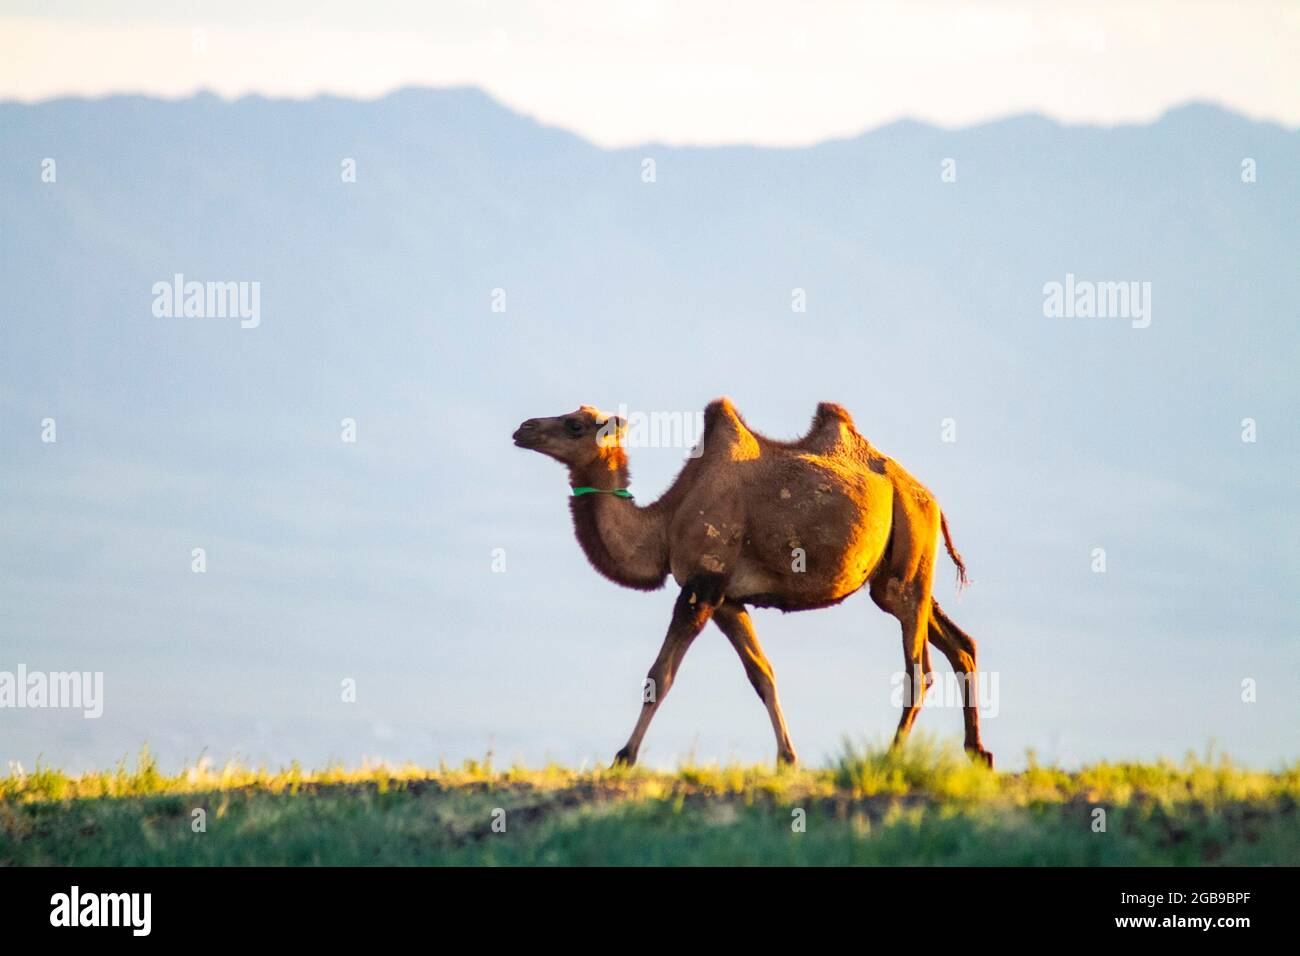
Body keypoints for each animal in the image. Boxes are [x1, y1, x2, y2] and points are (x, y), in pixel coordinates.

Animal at [512, 398, 993, 769]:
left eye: (575, 424)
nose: (523, 428)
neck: (664, 525)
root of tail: (929, 498)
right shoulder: (726, 598)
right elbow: (763, 674)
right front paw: (788, 759)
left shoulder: (700, 586)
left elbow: (660, 676)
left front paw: (623, 757)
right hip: (897, 571)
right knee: (961, 643)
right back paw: (978, 754)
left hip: (909, 547)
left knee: (919, 669)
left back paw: (891, 756)